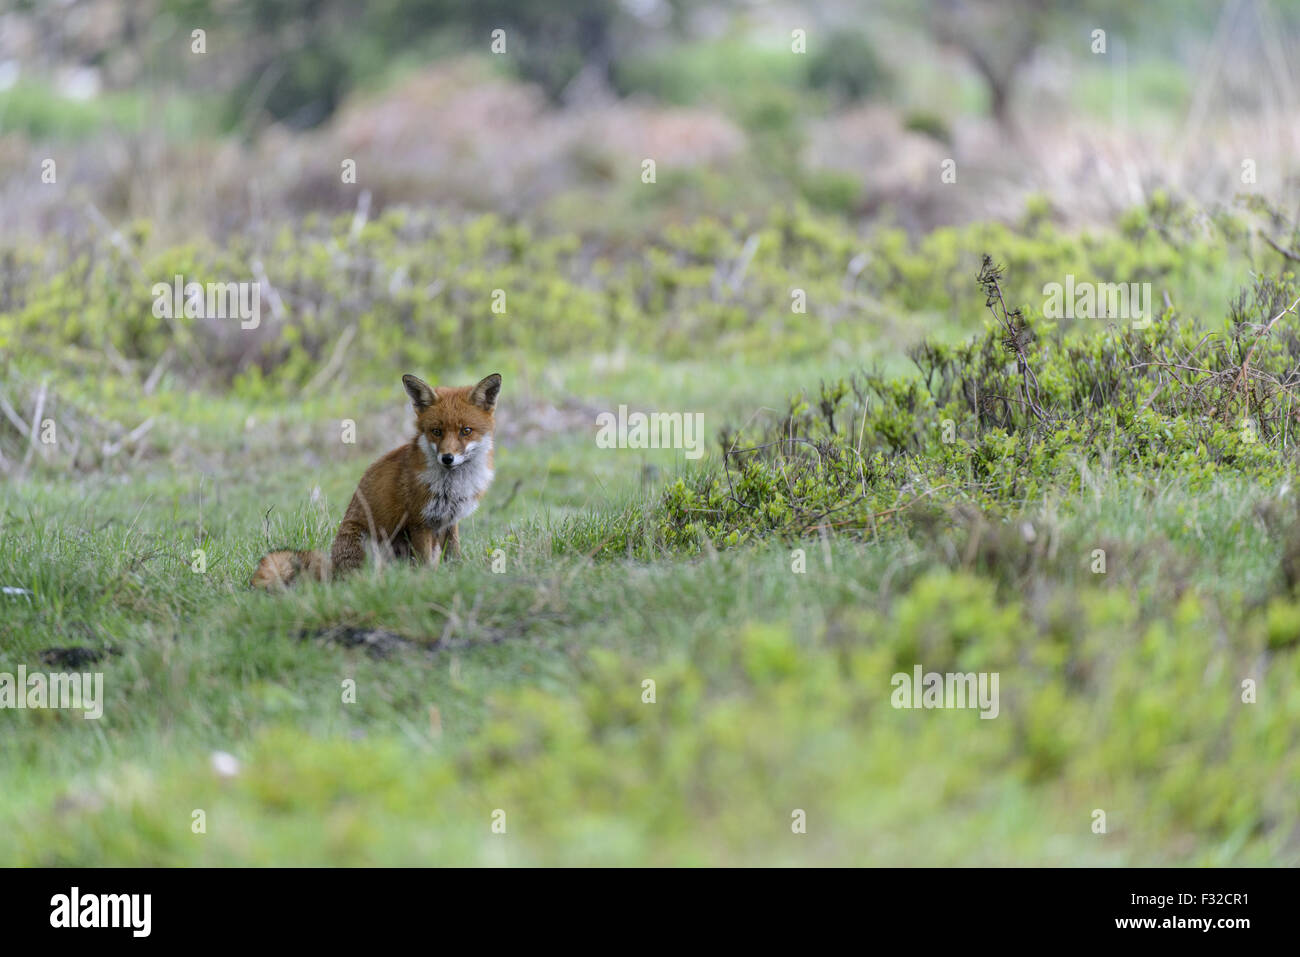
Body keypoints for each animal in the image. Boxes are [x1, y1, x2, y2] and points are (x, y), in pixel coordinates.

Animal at [250, 372, 501, 590]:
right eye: (436, 431)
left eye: (466, 431)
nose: (447, 458)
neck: (452, 486)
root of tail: (334, 571)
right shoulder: (419, 522)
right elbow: (426, 565)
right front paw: (427, 583)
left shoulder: (450, 521)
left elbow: (454, 557)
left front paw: (456, 577)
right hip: (369, 543)